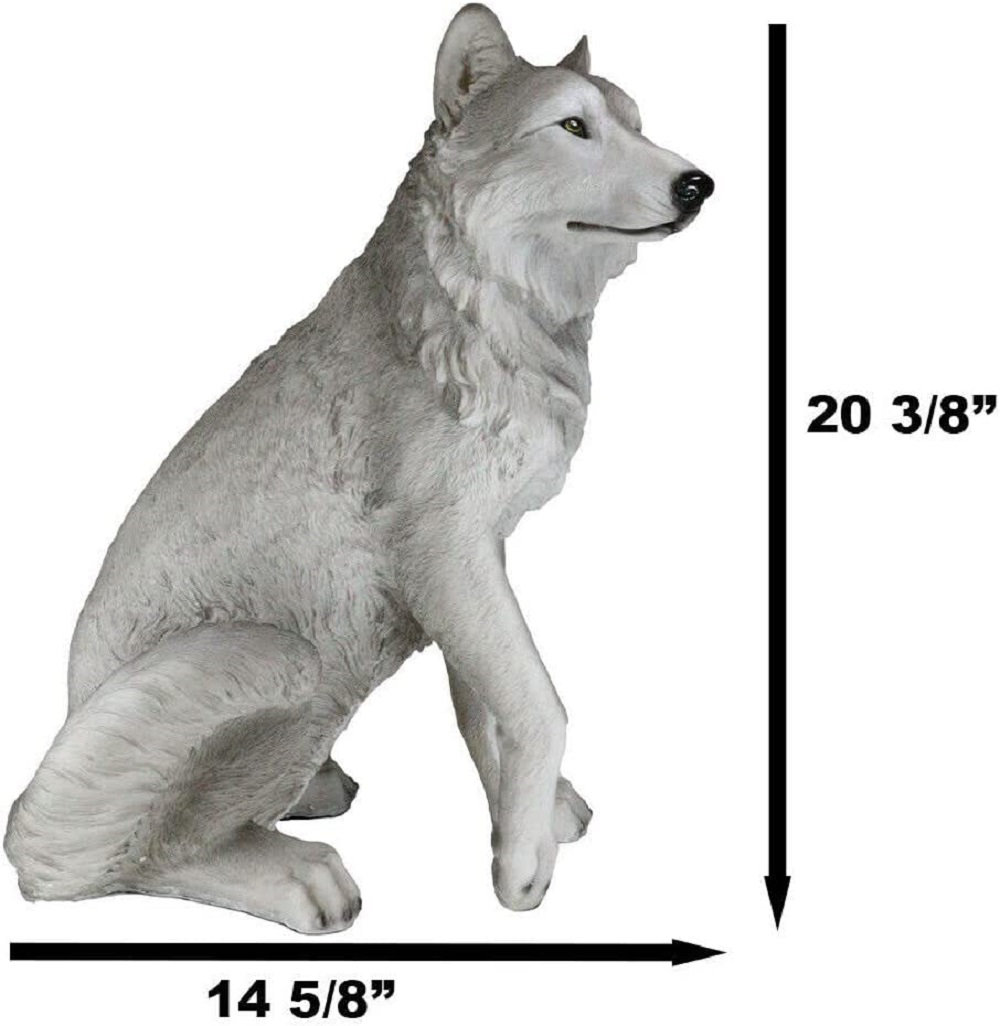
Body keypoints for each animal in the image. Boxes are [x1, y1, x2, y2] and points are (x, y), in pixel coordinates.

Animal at [5, 4, 713, 932]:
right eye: (572, 128)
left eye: (634, 121)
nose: (699, 185)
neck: (477, 313)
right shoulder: (443, 550)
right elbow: (538, 703)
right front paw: (522, 868)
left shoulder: (475, 557)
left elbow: (486, 712)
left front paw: (528, 817)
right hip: (286, 664)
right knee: (81, 855)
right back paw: (295, 874)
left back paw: (314, 791)